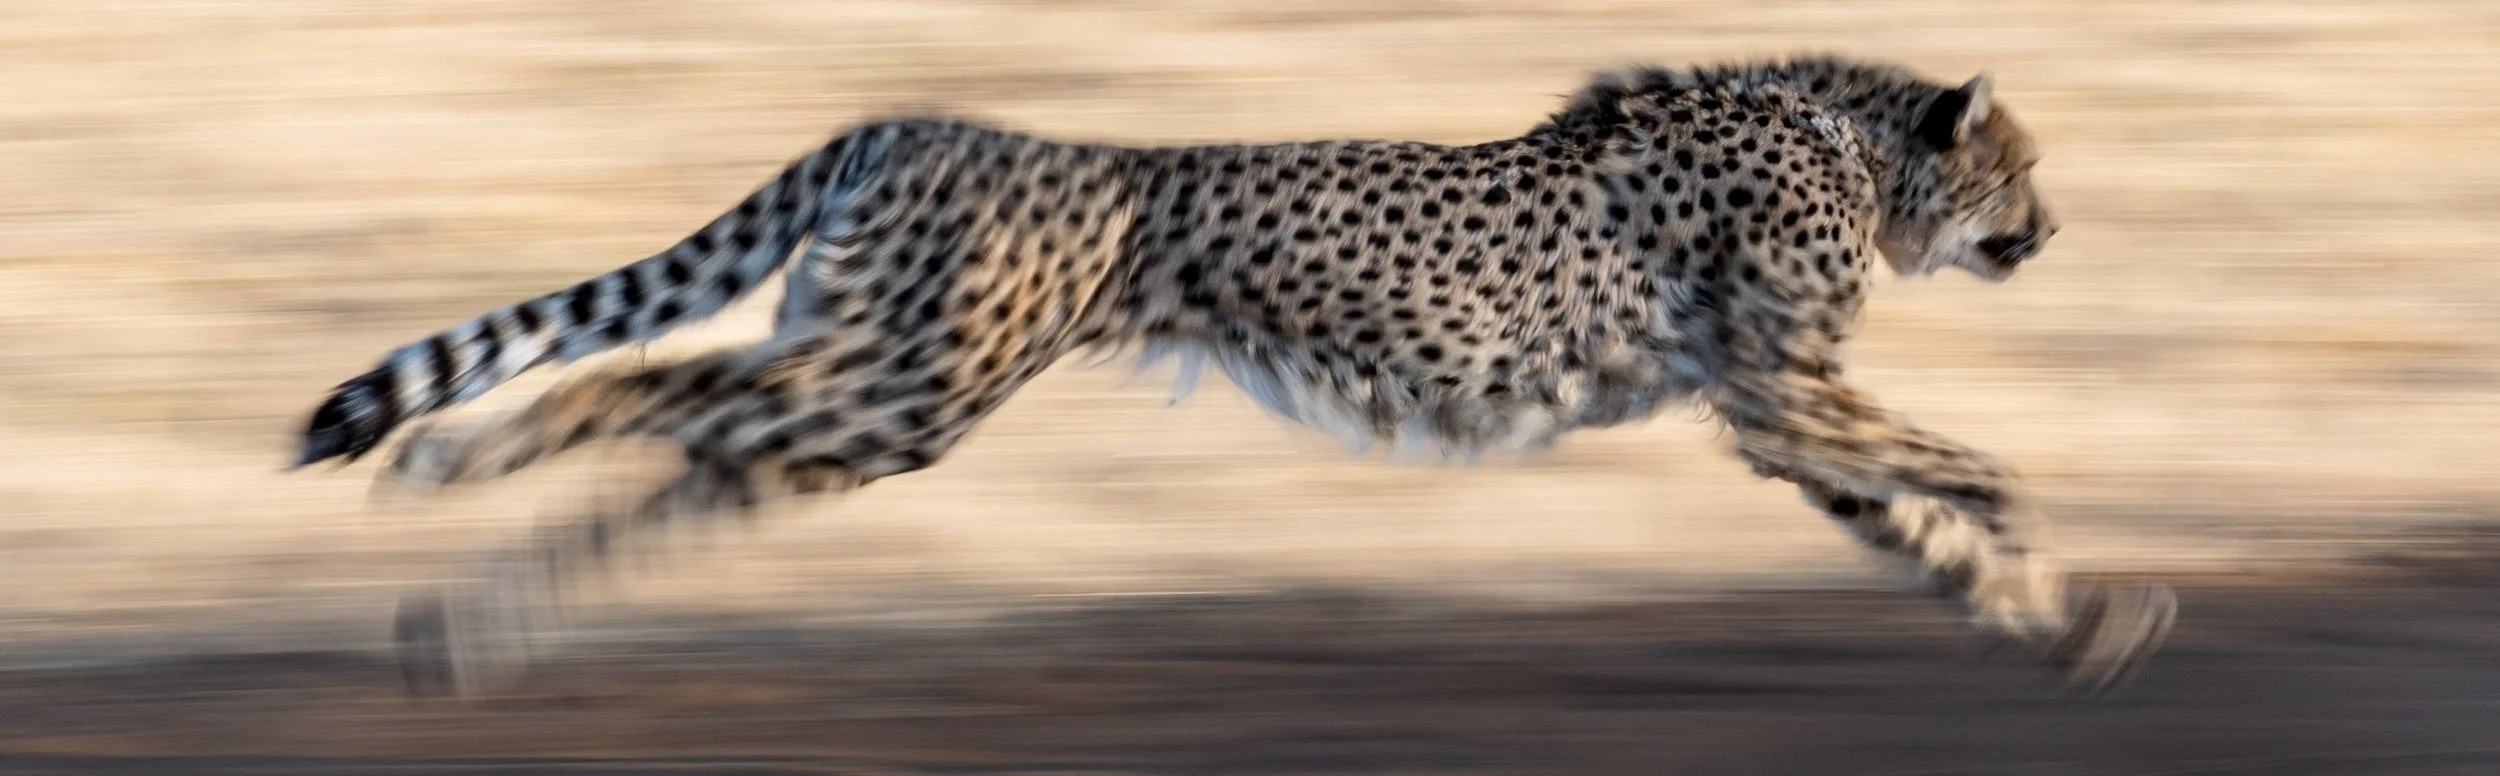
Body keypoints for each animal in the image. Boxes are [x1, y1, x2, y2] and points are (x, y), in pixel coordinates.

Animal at [290, 54, 2176, 699]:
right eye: (2021, 168)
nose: (2056, 226)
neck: (1839, 129)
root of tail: (920, 115)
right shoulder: (1783, 391)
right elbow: (1963, 466)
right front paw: (2040, 538)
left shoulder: (1776, 423)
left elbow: (1922, 529)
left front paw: (2071, 626)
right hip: (909, 387)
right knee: (654, 398)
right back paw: (450, 470)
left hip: (859, 385)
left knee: (688, 446)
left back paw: (456, 620)